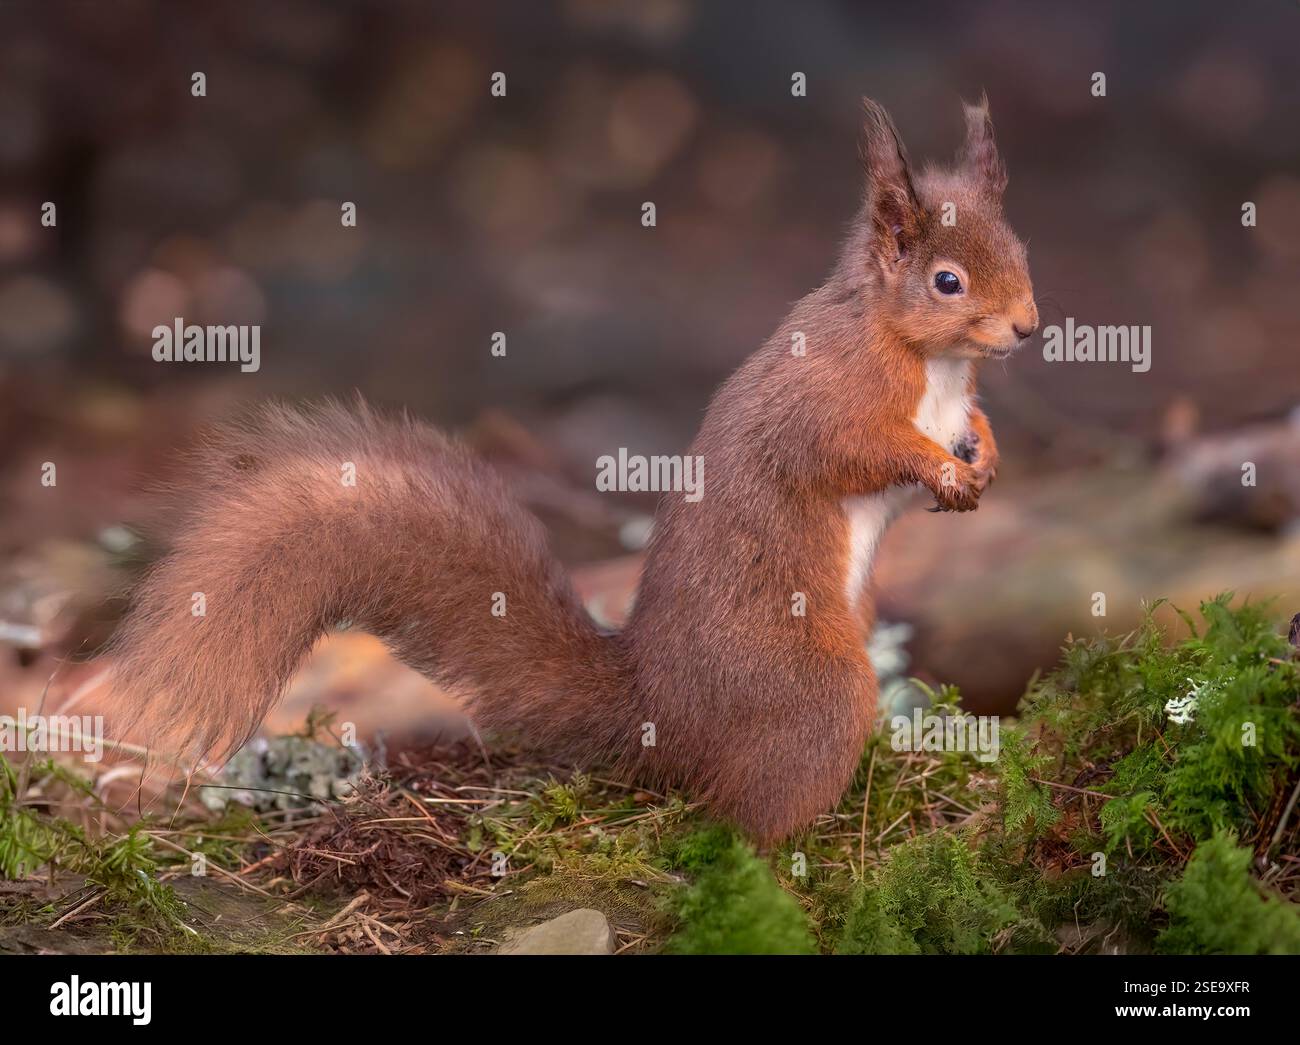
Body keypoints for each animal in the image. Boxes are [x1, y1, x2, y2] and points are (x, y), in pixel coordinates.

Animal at [108, 97, 1037, 844]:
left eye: (1021, 249)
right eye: (947, 281)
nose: (1029, 328)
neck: (930, 360)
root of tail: (662, 714)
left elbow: (973, 426)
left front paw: (983, 454)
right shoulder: (827, 397)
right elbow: (850, 448)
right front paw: (939, 469)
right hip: (811, 685)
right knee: (737, 819)